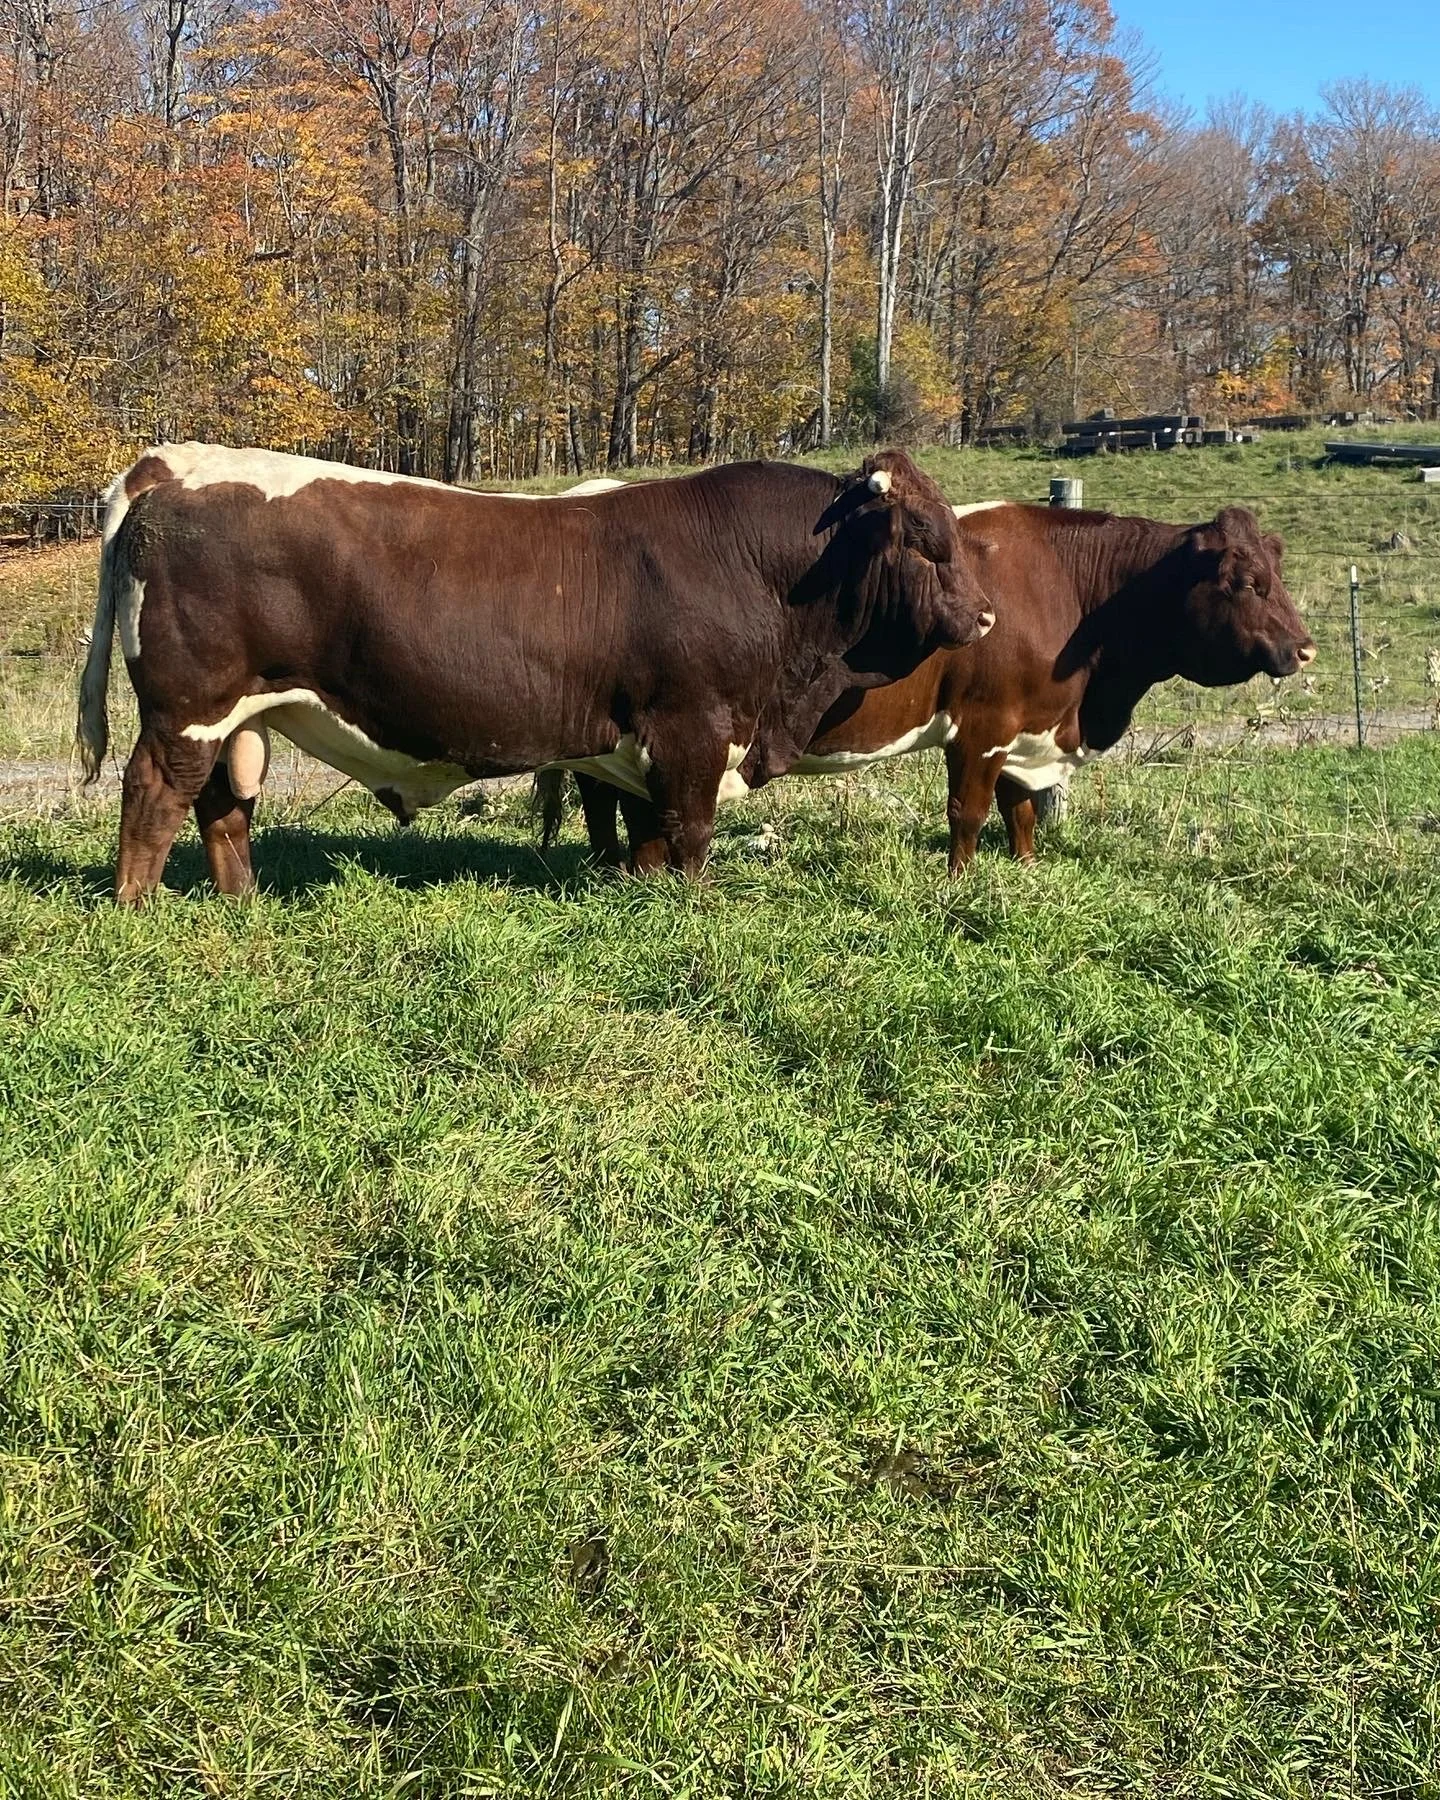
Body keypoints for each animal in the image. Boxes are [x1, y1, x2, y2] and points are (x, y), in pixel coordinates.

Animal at [75, 443, 995, 901]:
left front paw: (642, 900)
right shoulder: (694, 727)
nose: (986, 615)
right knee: (153, 797)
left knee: (222, 809)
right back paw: (137, 908)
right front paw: (691, 909)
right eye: (927, 537)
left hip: (240, 714)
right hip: (189, 706)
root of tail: (169, 465)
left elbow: (648, 834)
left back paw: (242, 902)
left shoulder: (643, 742)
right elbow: (691, 833)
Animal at [548, 499, 1316, 873]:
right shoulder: (984, 724)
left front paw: (1025, 871)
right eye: (1247, 582)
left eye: (1277, 571)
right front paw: (958, 881)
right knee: (604, 800)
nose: (1305, 648)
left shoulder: (1027, 730)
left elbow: (1021, 810)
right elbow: (969, 812)